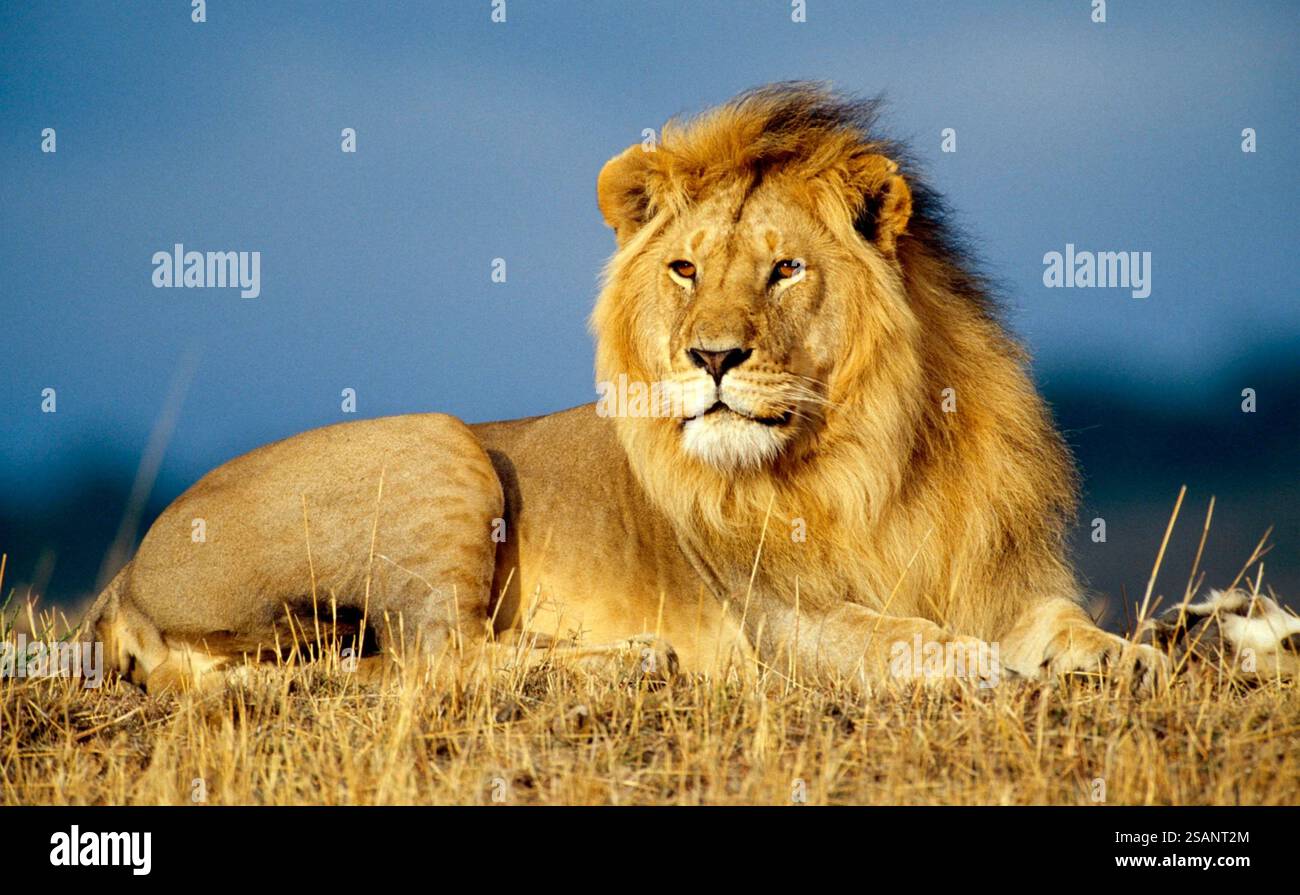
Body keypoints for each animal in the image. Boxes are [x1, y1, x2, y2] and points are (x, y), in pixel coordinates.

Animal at [83, 83, 1166, 692]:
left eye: (785, 269)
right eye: (685, 269)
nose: (713, 358)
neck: (875, 454)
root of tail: (125, 581)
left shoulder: (999, 576)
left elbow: (1061, 623)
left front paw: (1130, 656)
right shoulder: (771, 619)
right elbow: (871, 631)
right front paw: (951, 657)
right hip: (440, 444)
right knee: (432, 658)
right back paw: (630, 661)